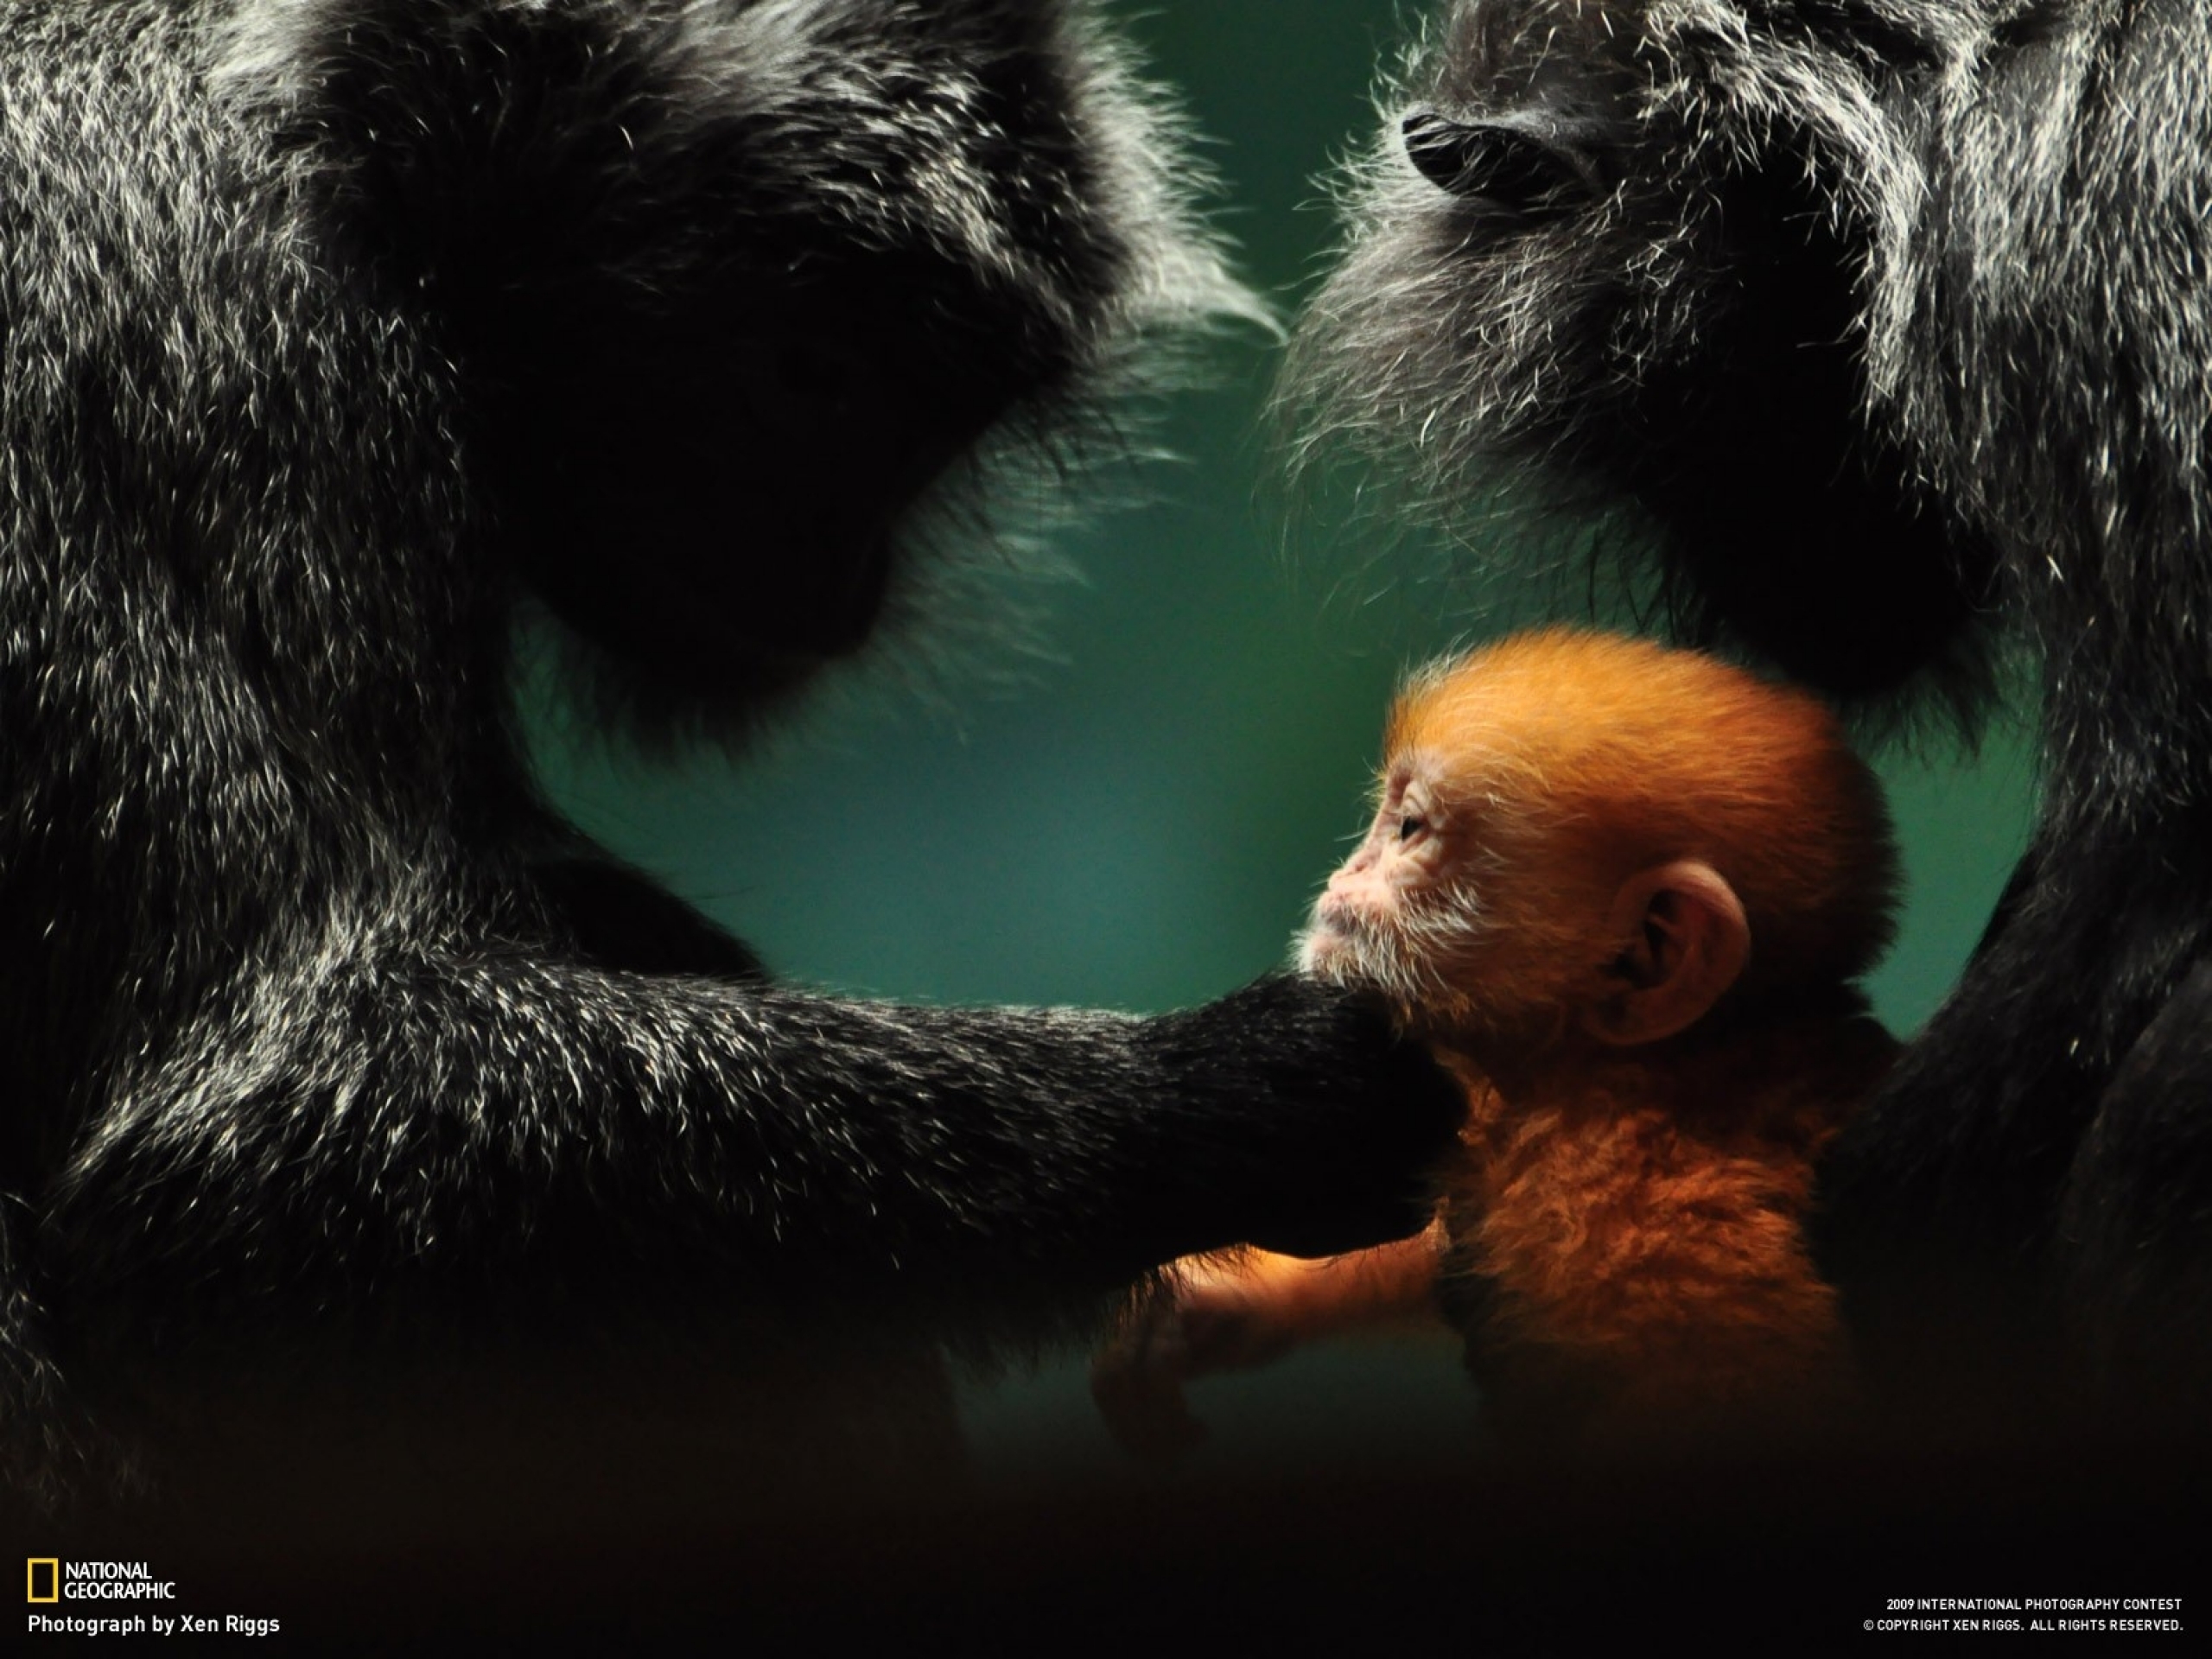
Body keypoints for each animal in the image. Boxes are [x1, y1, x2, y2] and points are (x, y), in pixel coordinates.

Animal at [0, 0, 1464, 1597]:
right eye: (818, 372)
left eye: (940, 412)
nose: (846, 579)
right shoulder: (215, 314)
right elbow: (235, 1149)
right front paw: (1221, 1093)